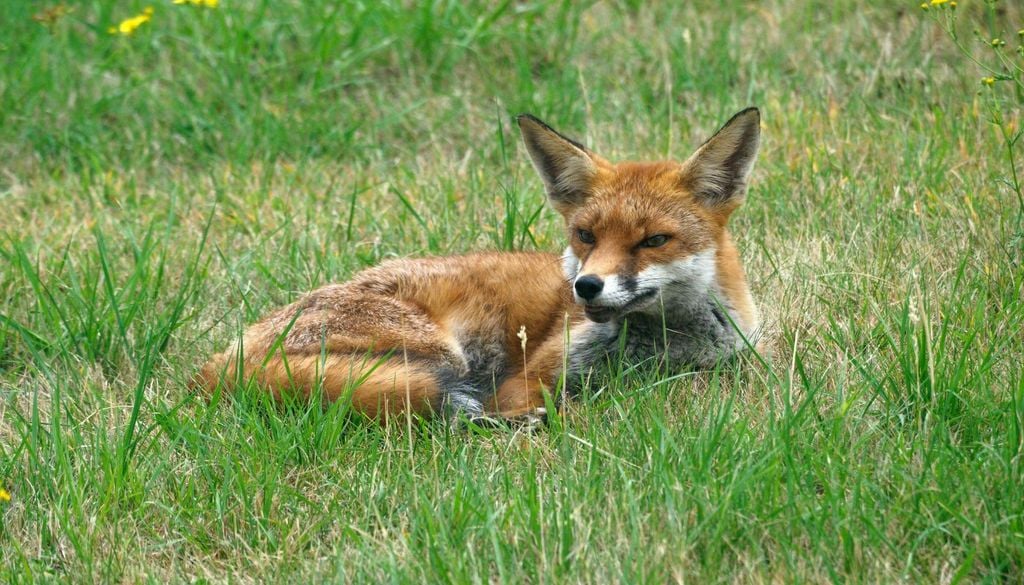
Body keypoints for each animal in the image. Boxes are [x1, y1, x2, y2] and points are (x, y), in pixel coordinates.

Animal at [194, 108, 763, 424]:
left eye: (653, 241)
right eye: (586, 235)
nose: (586, 286)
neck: (665, 350)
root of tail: (220, 363)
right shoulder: (530, 377)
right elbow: (528, 401)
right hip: (440, 354)